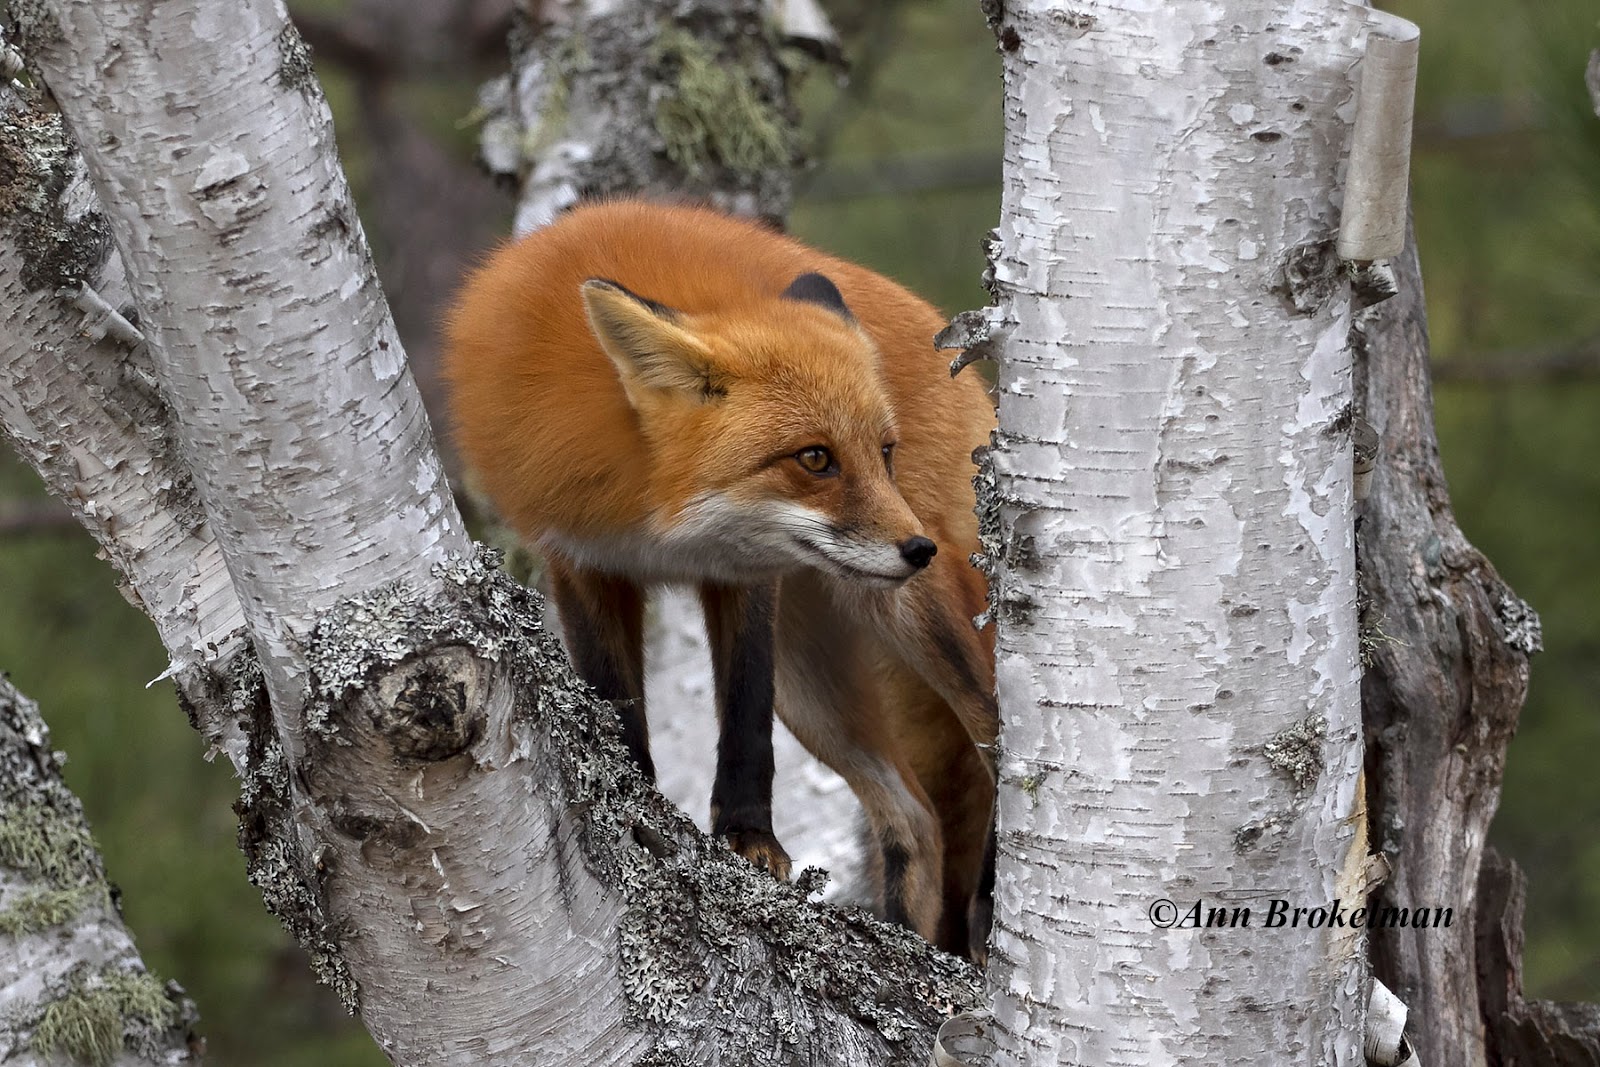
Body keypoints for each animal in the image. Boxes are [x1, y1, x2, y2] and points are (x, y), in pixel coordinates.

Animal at [442, 200, 997, 957]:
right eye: (815, 458)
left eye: (884, 453)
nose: (920, 549)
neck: (655, 512)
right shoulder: (579, 560)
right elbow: (614, 697)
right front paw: (632, 803)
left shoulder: (746, 573)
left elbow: (743, 709)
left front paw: (747, 837)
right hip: (810, 684)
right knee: (915, 817)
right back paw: (915, 946)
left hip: (919, 623)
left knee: (999, 735)